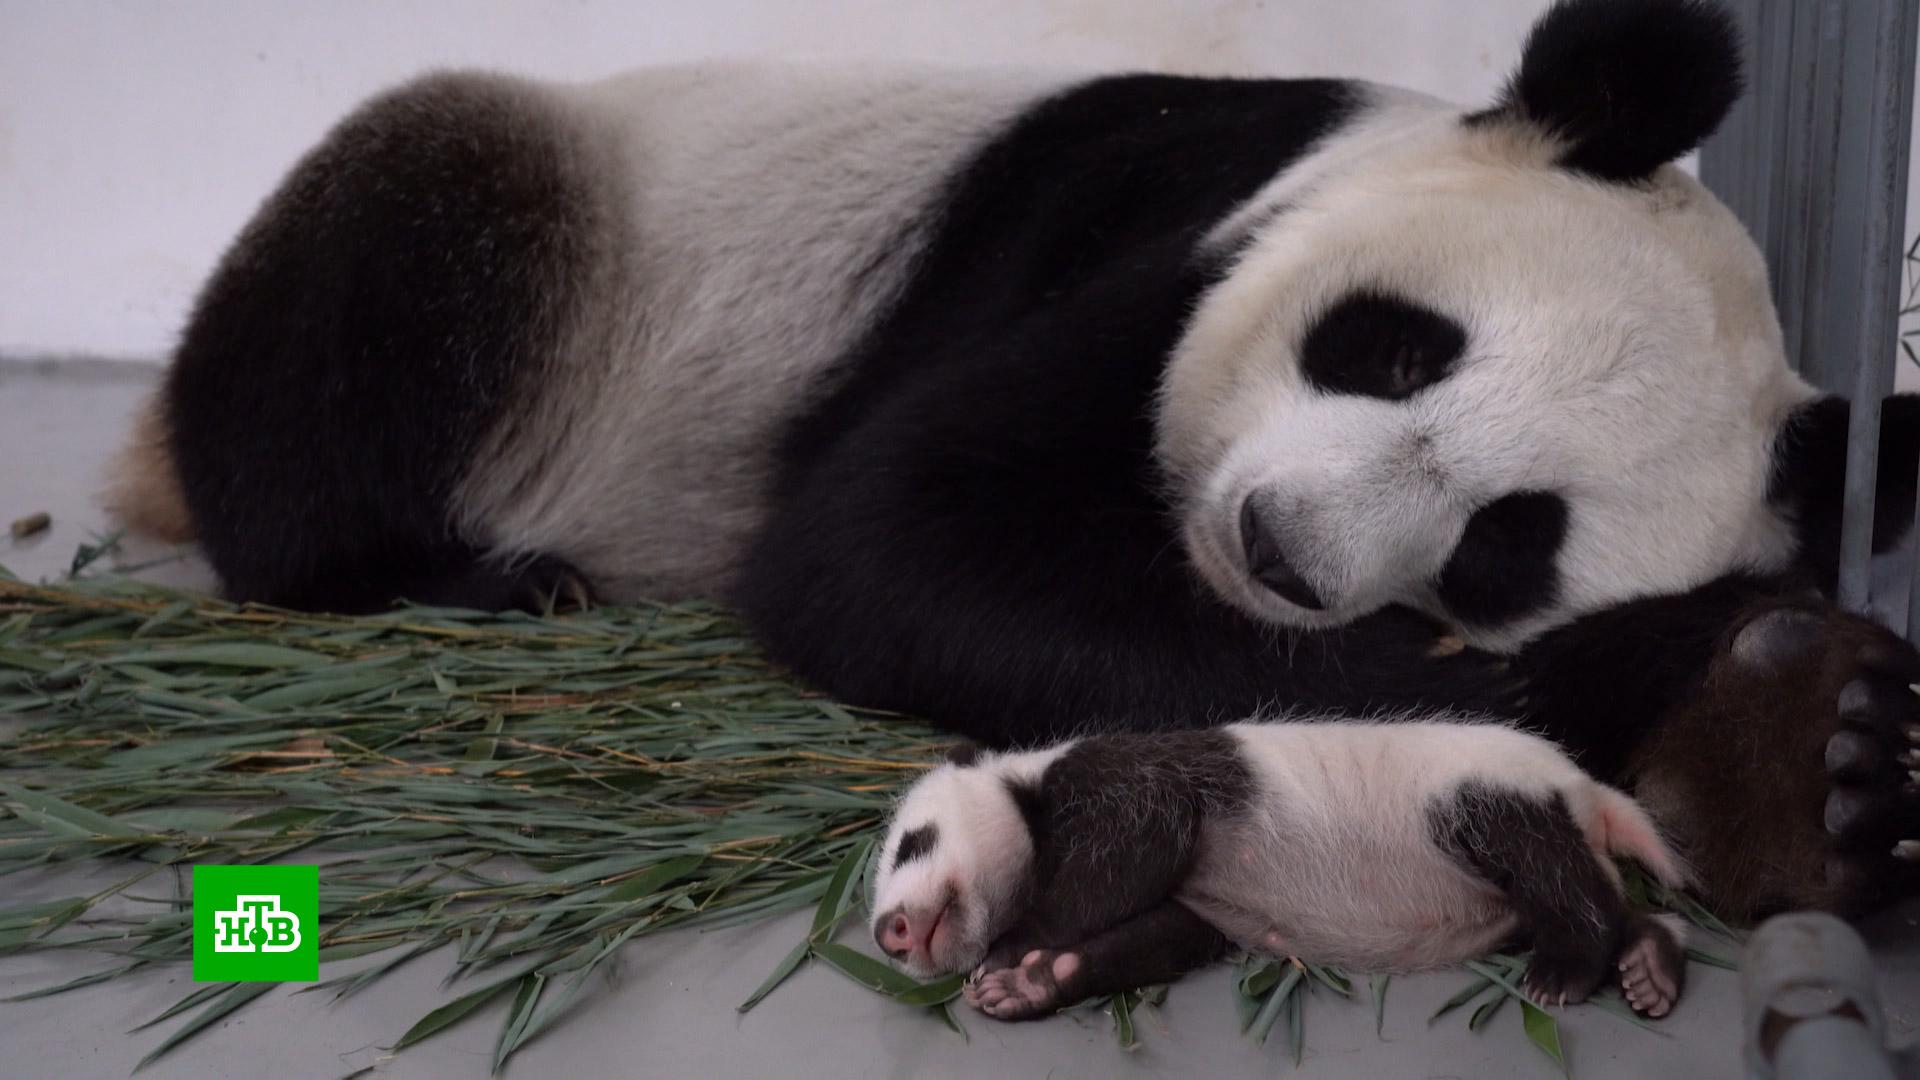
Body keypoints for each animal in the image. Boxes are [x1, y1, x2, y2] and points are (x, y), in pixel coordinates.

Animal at [112, 0, 1912, 914]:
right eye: (1398, 348)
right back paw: (471, 578)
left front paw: (1830, 761)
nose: (1282, 551)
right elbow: (891, 545)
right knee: (371, 280)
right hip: (552, 229)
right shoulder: (1167, 242)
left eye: (1507, 540)